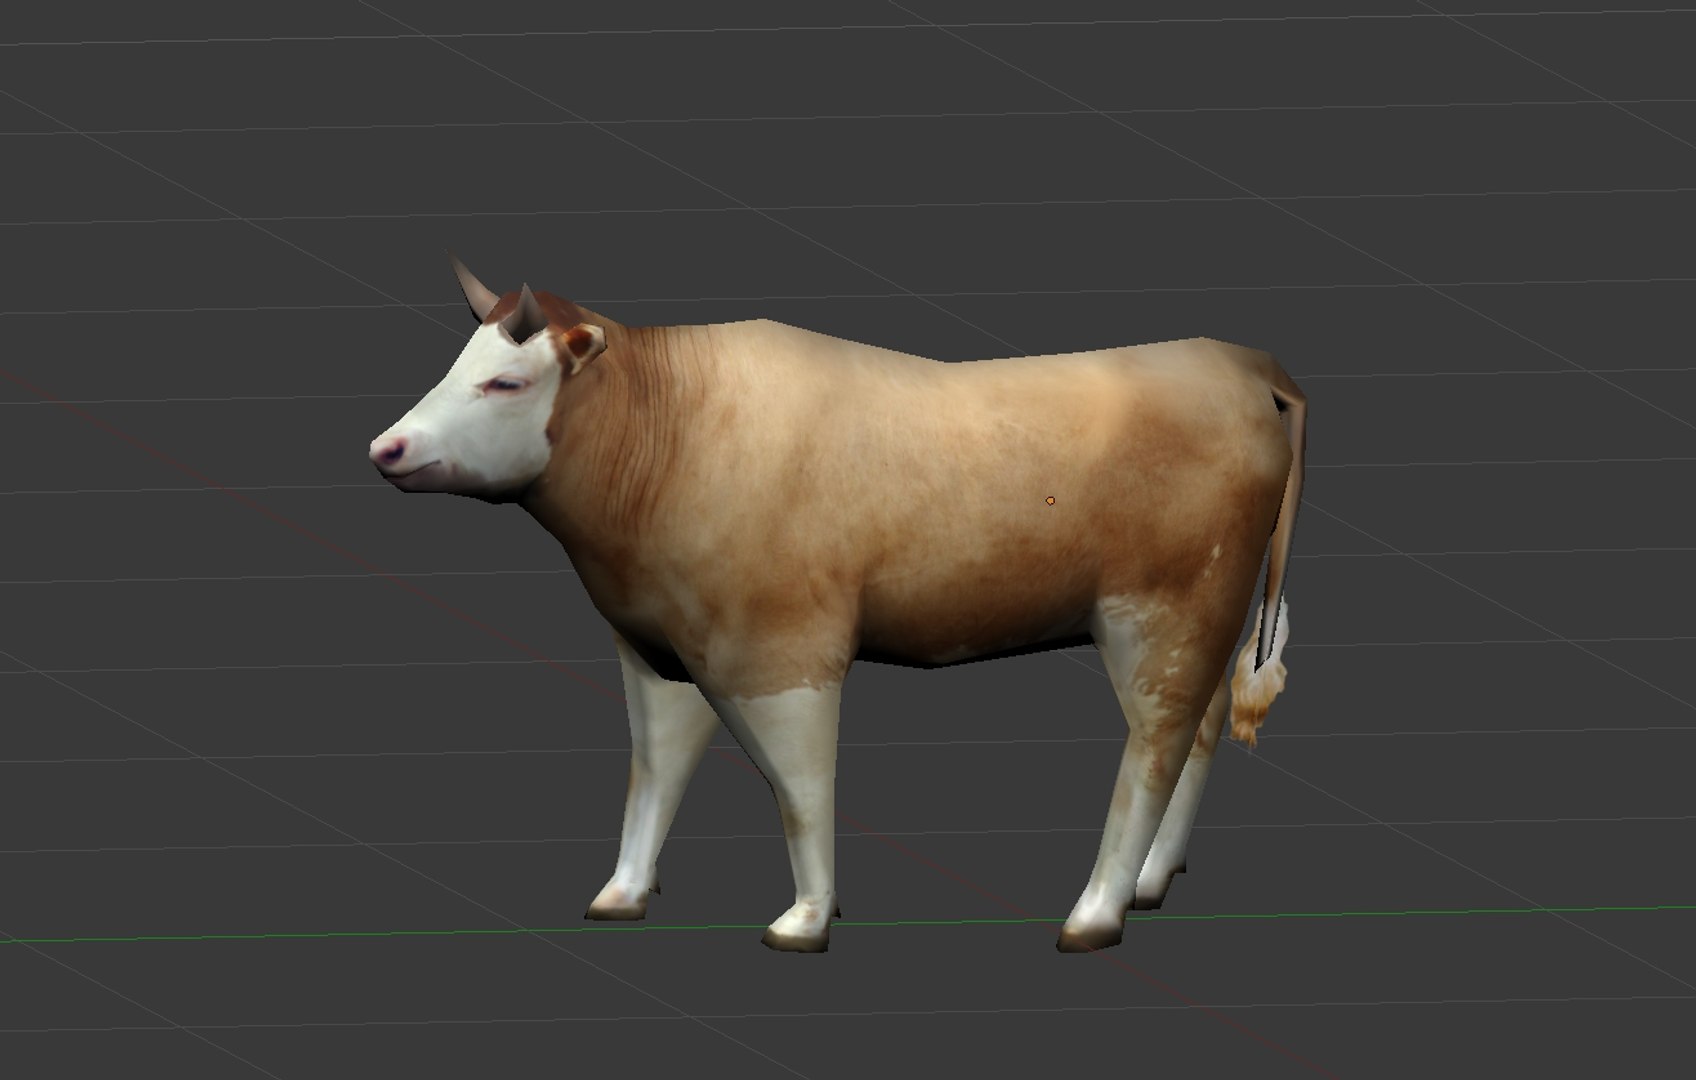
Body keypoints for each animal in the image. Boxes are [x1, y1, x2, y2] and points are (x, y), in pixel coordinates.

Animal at [368, 254, 1306, 953]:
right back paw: (1149, 881)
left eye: (506, 382)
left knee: (1157, 740)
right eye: (455, 367)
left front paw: (805, 918)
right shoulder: (660, 648)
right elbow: (653, 771)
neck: (670, 429)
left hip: (1160, 611)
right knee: (1204, 723)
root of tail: (1235, 361)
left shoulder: (783, 646)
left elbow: (798, 783)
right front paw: (622, 892)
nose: (387, 447)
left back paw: (1097, 910)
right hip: (1204, 613)